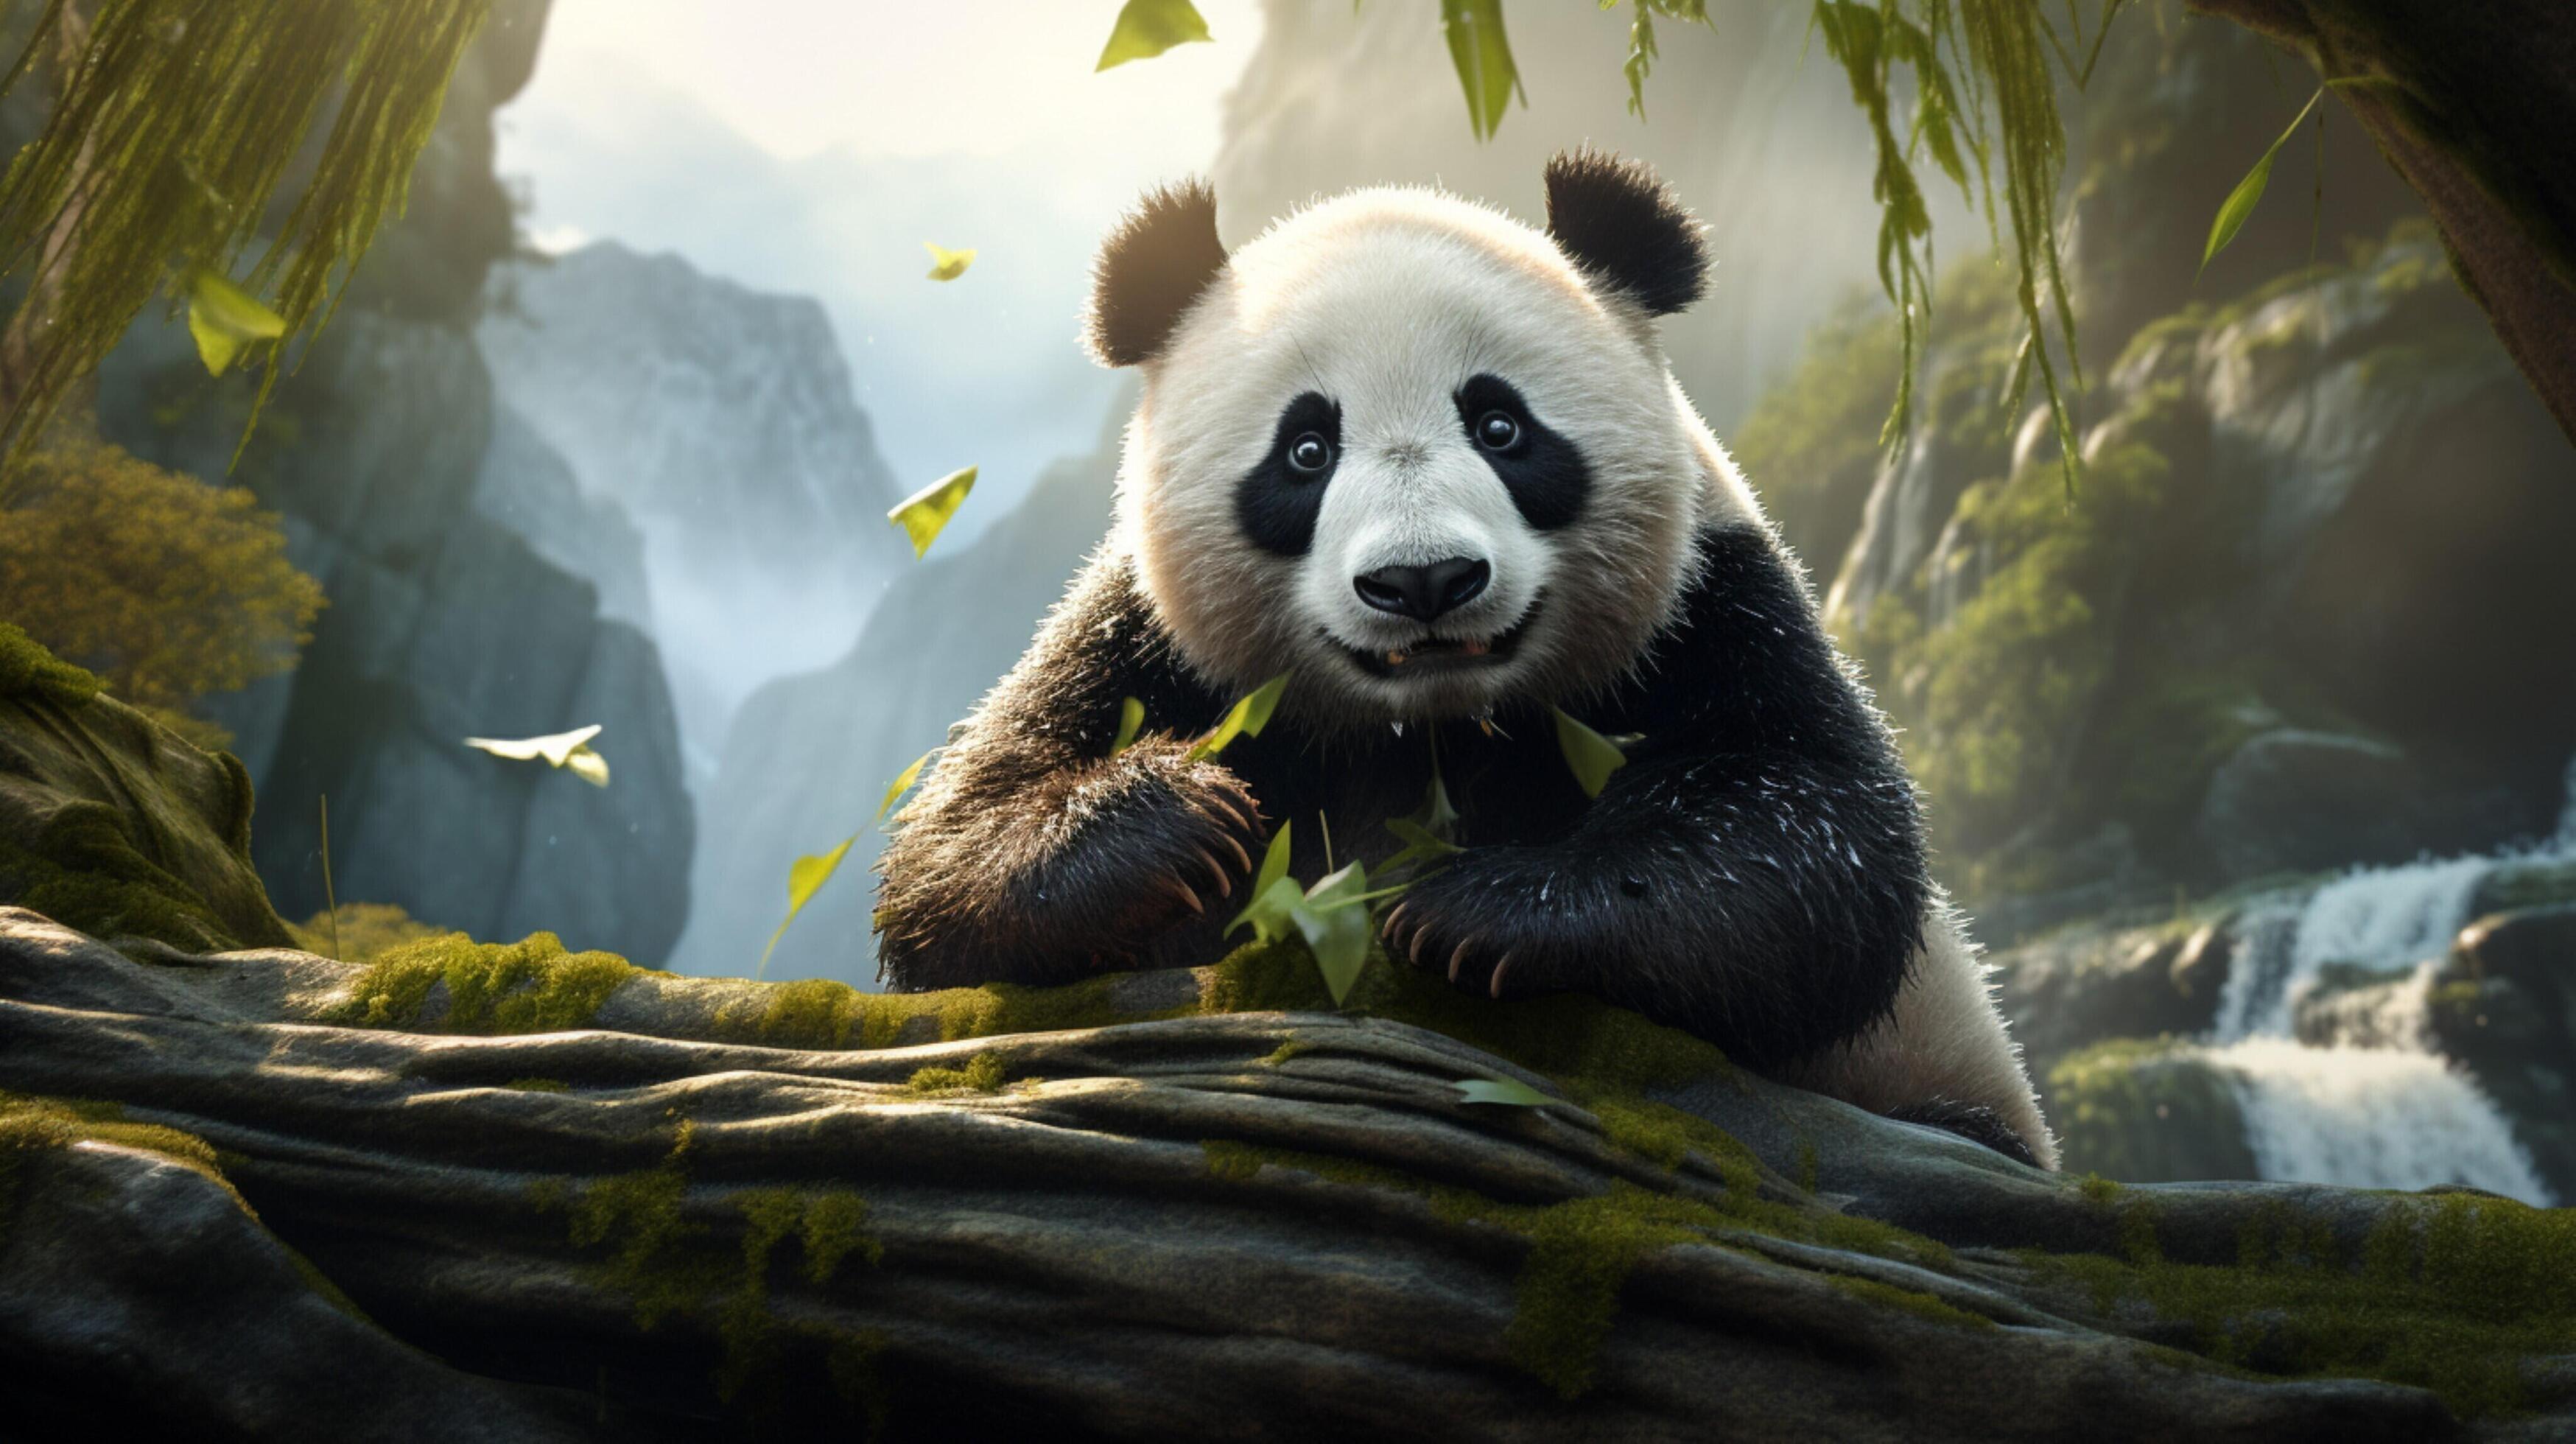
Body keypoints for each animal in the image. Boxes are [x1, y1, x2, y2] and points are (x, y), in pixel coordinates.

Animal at [873, 149, 2056, 1169]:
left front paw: (1471, 913)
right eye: (1306, 450)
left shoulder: (1710, 606)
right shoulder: (1148, 640)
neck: (1432, 722)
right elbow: (958, 840)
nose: (1424, 582)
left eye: (1500, 426)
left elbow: (1816, 836)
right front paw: (1176, 825)